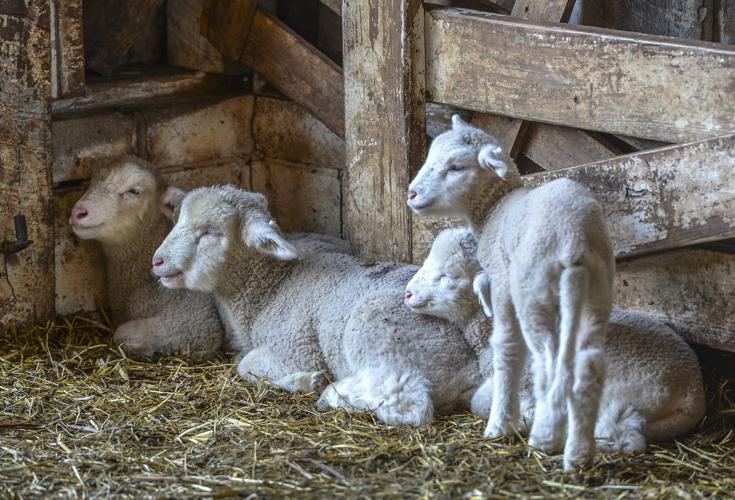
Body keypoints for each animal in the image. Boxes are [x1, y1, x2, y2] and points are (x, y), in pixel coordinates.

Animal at [151, 185, 484, 426]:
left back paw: (334, 395)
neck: (272, 287)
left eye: (210, 233)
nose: (157, 261)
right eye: (178, 221)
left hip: (379, 331)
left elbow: (245, 364)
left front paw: (306, 380)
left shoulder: (297, 349)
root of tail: (474, 364)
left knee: (410, 406)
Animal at [408, 115, 615, 469]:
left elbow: (506, 349)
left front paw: (500, 425)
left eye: (457, 167)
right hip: (597, 293)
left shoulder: (502, 285)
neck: (494, 209)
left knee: (546, 364)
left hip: (533, 292)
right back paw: (579, 453)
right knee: (589, 364)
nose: (411, 193)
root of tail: (573, 239)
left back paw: (545, 437)